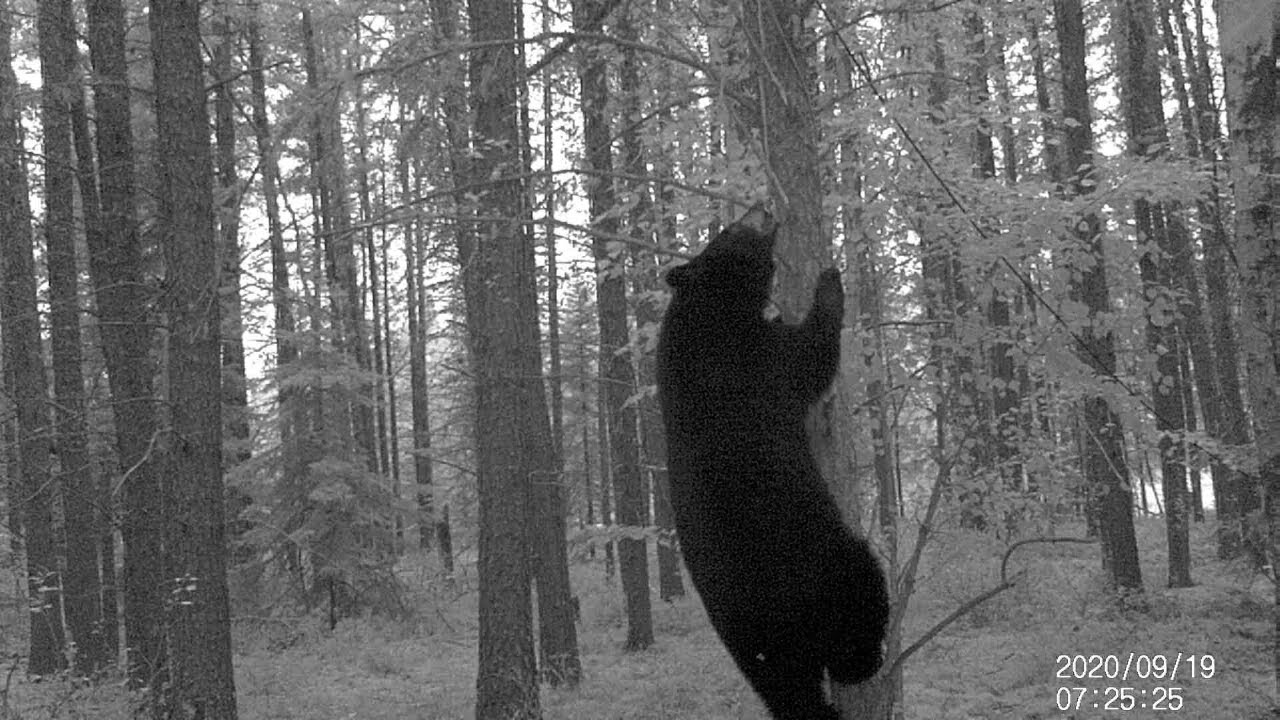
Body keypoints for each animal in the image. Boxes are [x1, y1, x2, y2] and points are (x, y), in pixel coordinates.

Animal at [655, 206, 890, 720]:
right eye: (731, 231)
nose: (759, 209)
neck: (708, 309)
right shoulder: (753, 361)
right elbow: (810, 355)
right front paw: (829, 280)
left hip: (749, 650)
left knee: (783, 691)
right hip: (830, 565)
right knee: (860, 597)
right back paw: (866, 659)